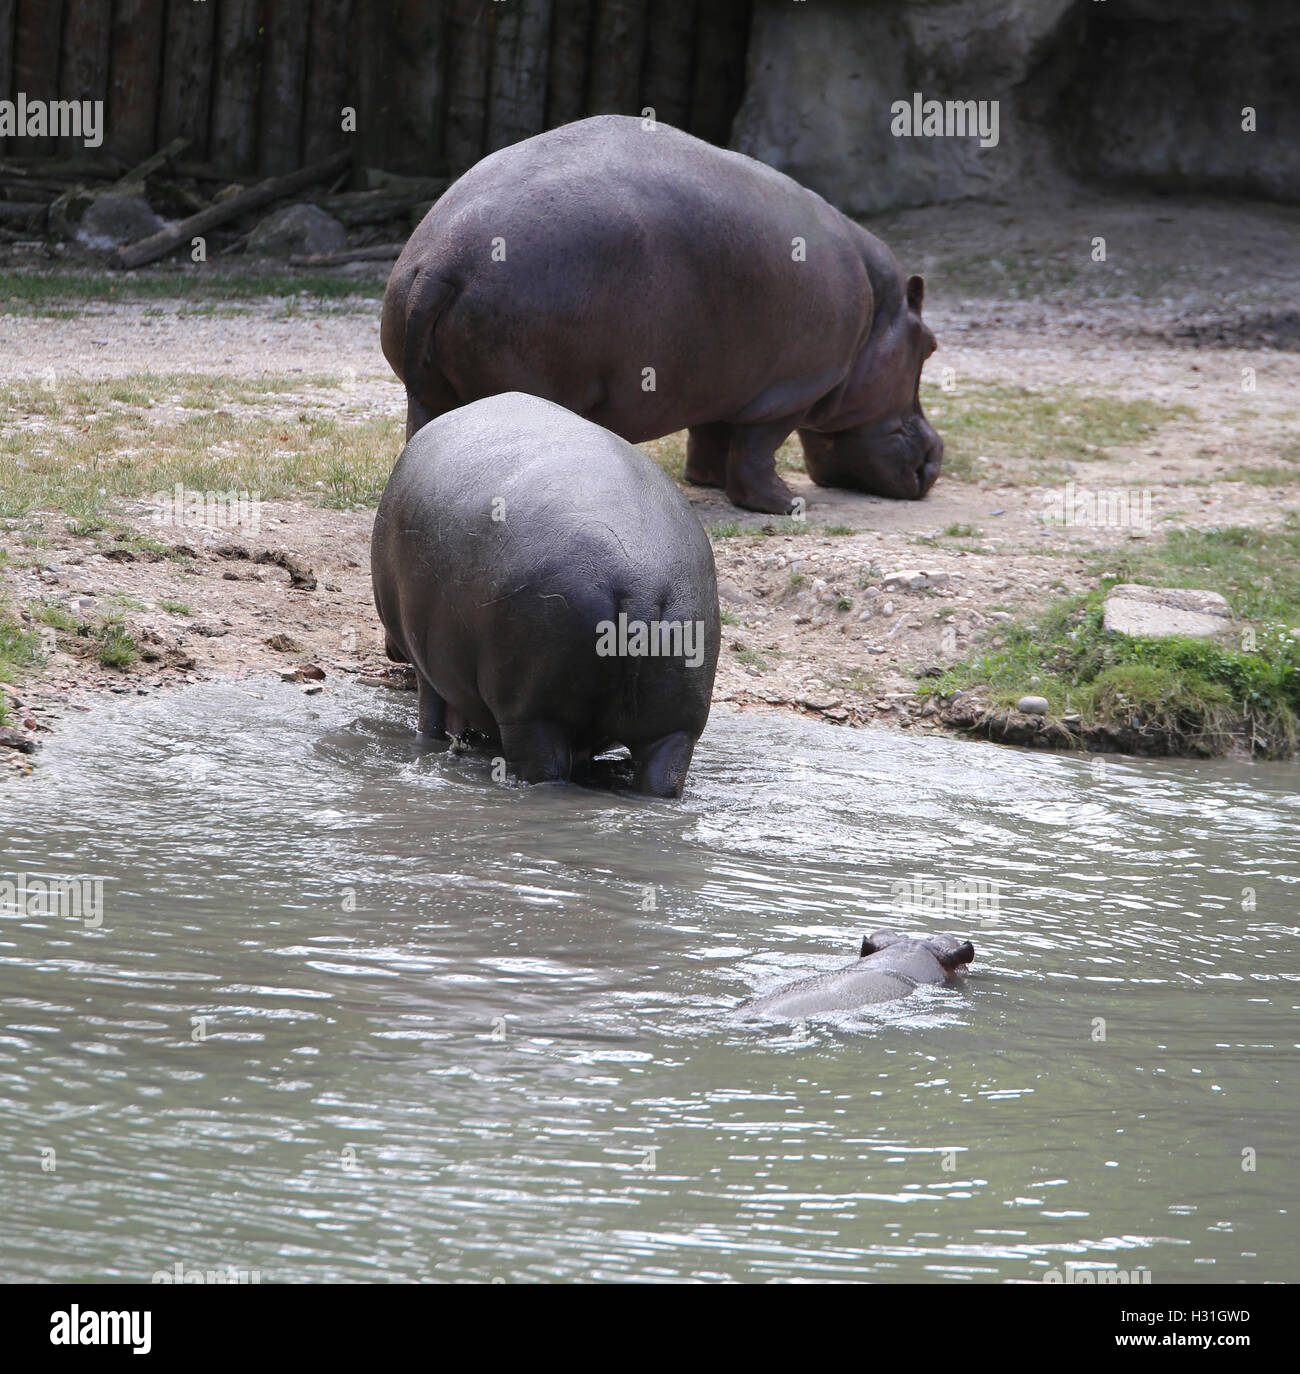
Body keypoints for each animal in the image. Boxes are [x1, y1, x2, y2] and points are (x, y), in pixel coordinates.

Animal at [370, 391, 720, 798]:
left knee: (543, 768)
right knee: (663, 774)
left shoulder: (430, 673)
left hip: (533, 715)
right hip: (677, 723)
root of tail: (643, 590)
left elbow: (431, 723)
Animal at [381, 115, 942, 515]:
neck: (879, 313)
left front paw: (707, 481)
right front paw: (786, 505)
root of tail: (441, 260)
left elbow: (712, 437)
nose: (935, 456)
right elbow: (757, 452)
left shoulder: (725, 383)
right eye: (931, 346)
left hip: (426, 394)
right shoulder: (791, 390)